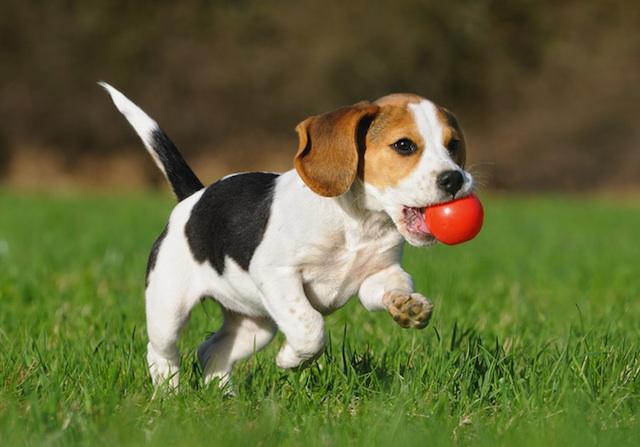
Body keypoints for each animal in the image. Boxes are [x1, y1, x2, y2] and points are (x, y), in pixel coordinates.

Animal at [99, 83, 470, 388]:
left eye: (453, 145)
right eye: (404, 145)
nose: (455, 179)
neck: (358, 222)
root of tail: (194, 197)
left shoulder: (378, 275)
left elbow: (391, 286)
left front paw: (407, 306)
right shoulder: (278, 274)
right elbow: (310, 328)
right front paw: (290, 359)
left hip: (255, 325)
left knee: (210, 351)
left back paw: (224, 398)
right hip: (168, 308)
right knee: (161, 352)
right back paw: (168, 394)